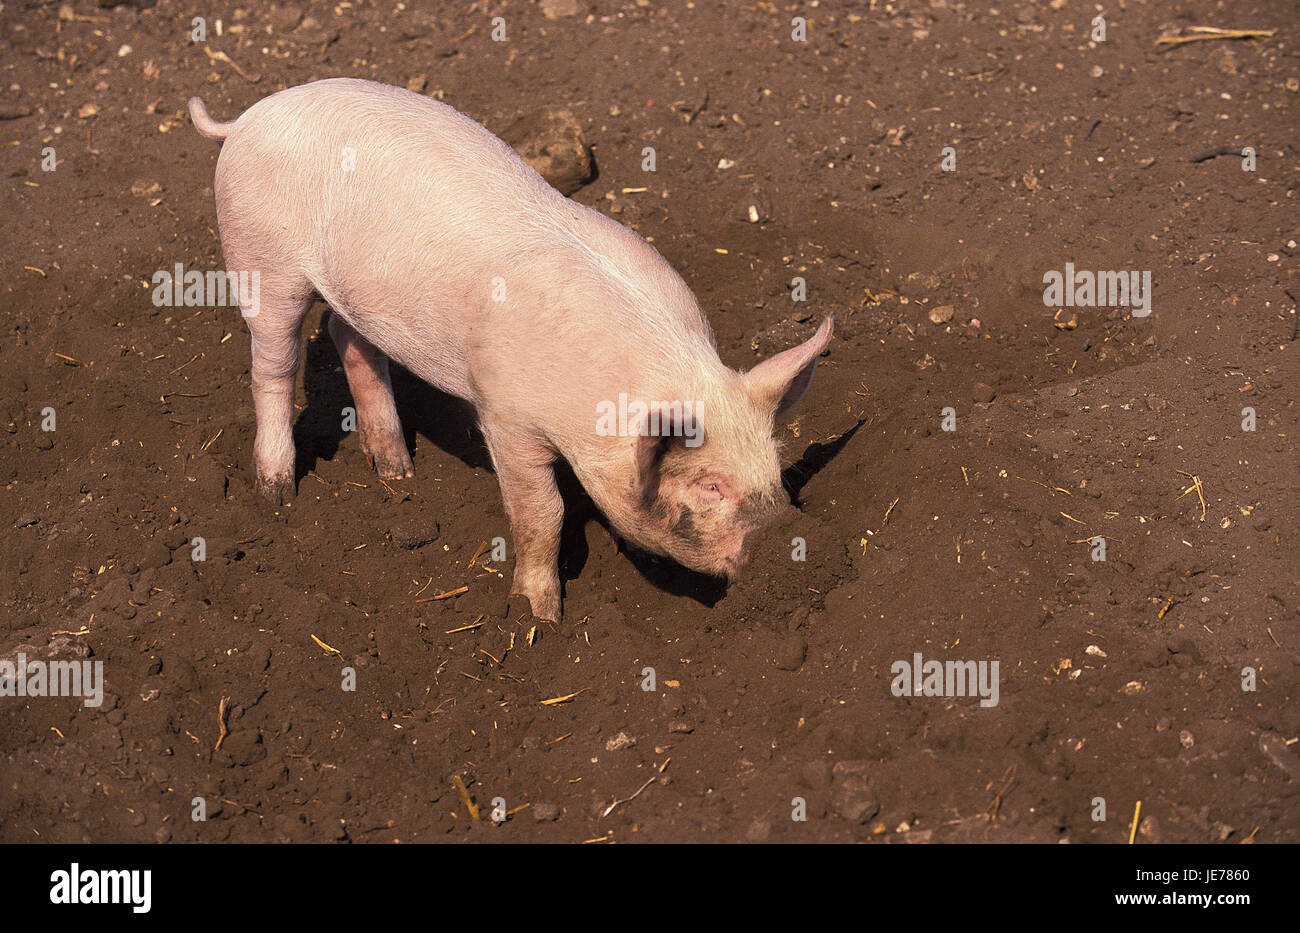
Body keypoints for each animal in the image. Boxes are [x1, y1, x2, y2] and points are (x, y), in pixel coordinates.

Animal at [189, 78, 832, 622]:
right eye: (709, 485)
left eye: (775, 464)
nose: (789, 544)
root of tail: (249, 116)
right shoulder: (505, 416)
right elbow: (543, 513)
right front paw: (538, 617)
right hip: (261, 260)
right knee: (273, 366)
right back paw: (278, 492)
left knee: (350, 336)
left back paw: (397, 471)